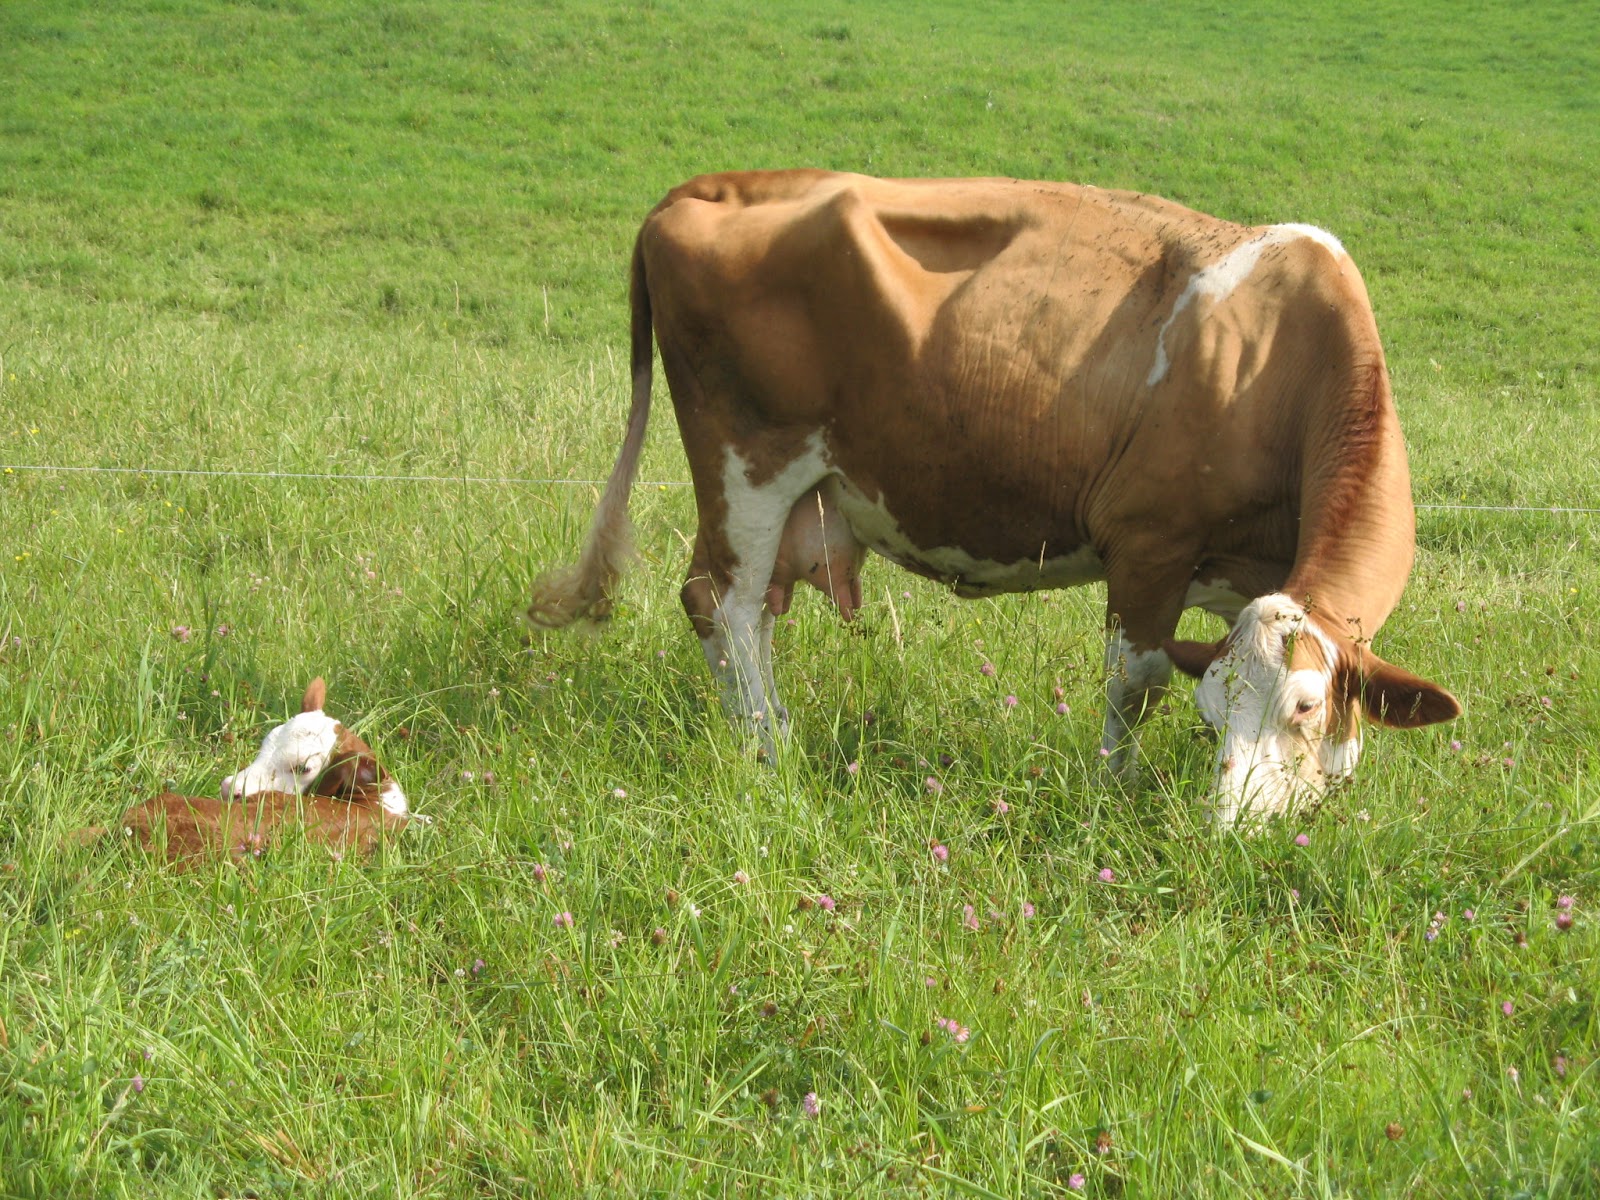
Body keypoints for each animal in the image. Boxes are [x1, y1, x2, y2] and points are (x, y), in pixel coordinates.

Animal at [529, 170, 1461, 826]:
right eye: (1213, 716)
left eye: (1304, 707)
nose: (1224, 828)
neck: (1283, 365)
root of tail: (711, 186)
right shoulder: (1149, 538)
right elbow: (1136, 679)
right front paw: (1112, 790)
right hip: (747, 462)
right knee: (722, 603)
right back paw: (771, 746)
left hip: (795, 493)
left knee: (743, 612)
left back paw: (763, 729)